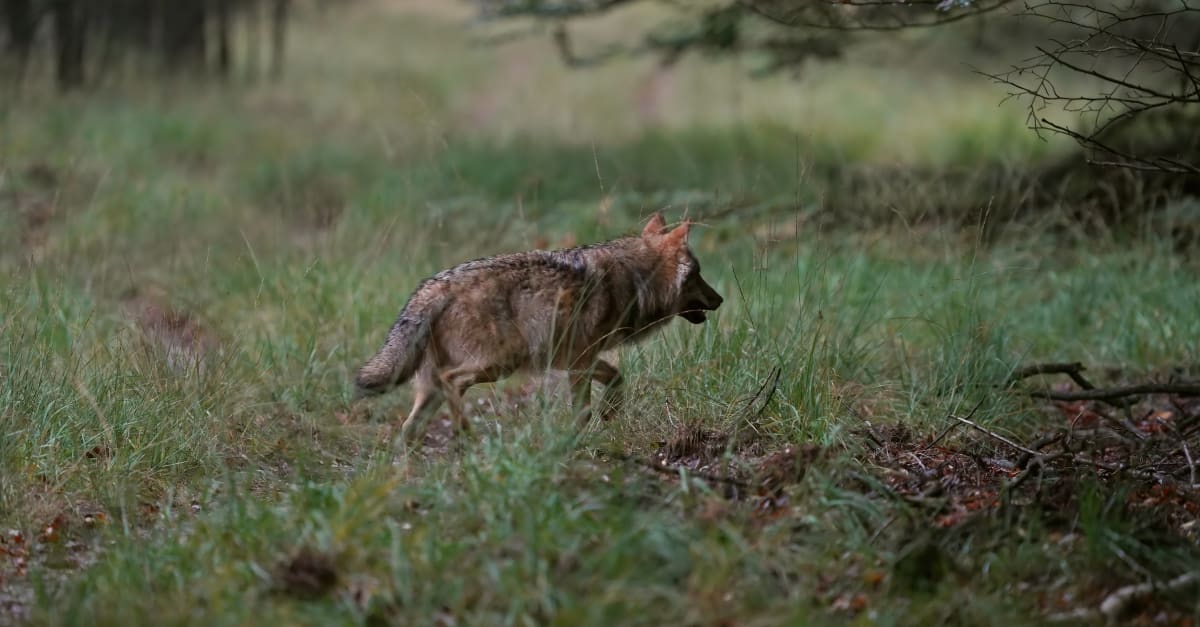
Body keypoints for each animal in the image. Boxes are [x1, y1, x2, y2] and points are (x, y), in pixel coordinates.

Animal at [355, 213, 723, 443]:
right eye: (698, 273)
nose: (720, 299)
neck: (636, 279)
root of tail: (435, 286)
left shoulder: (577, 360)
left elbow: (617, 379)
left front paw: (608, 414)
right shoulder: (579, 362)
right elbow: (584, 409)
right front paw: (577, 439)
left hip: (436, 385)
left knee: (408, 429)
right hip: (499, 364)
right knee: (453, 384)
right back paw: (467, 438)